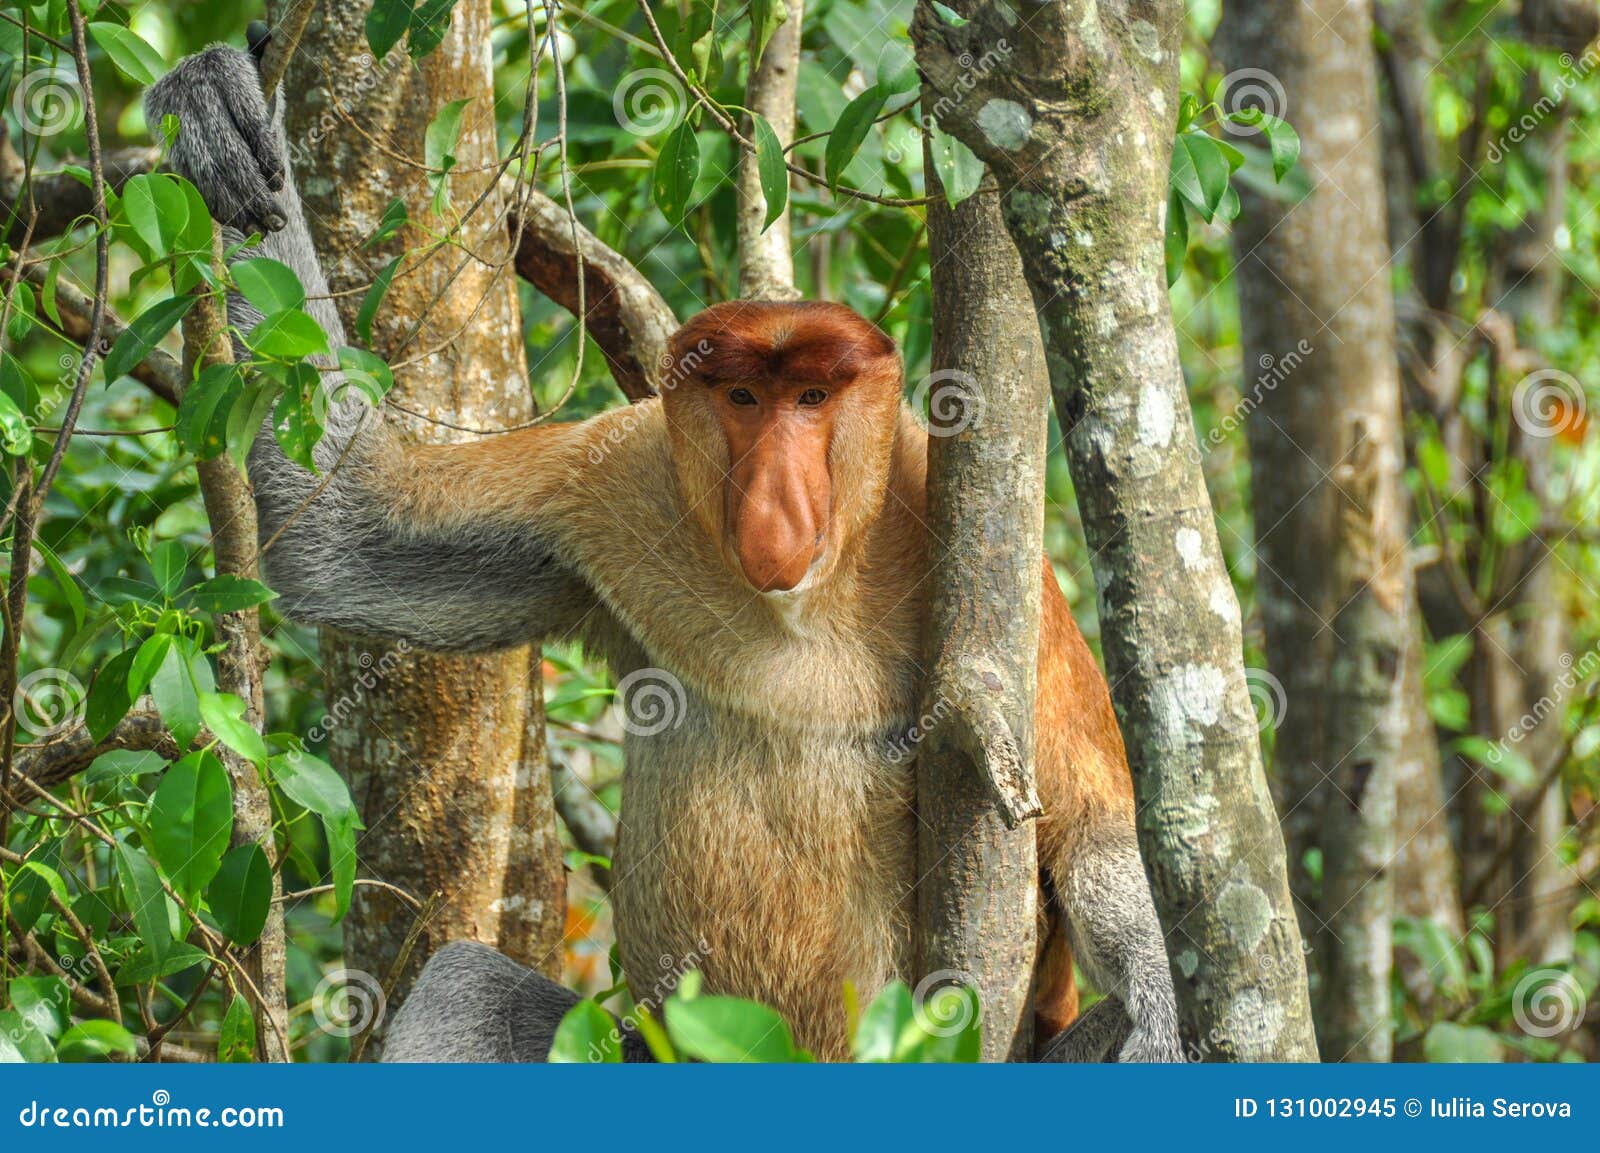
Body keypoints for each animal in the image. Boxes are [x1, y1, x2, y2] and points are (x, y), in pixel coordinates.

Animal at [145, 44, 1181, 1064]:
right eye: (742, 399)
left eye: (813, 398)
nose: (774, 504)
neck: (803, 600)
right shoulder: (609, 477)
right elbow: (351, 534)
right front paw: (214, 106)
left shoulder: (995, 567)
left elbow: (1095, 823)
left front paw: (1162, 1012)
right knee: (462, 985)